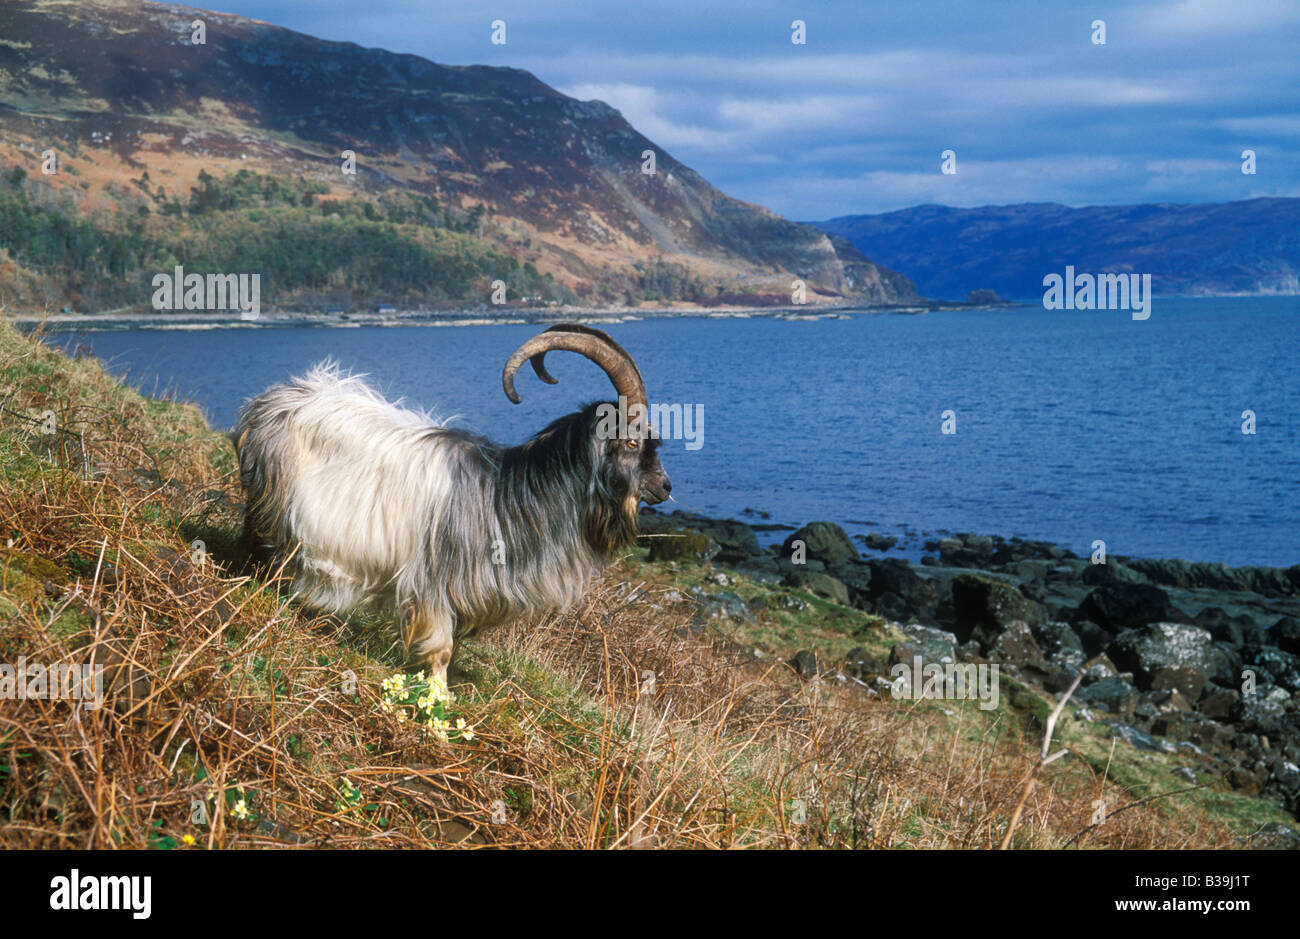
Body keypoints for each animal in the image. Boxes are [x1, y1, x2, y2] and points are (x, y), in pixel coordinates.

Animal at [235, 324, 671, 685]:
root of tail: (268, 403)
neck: (506, 494)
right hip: (274, 507)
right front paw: (439, 703)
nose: (664, 487)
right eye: (631, 442)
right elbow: (442, 651)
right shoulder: (433, 583)